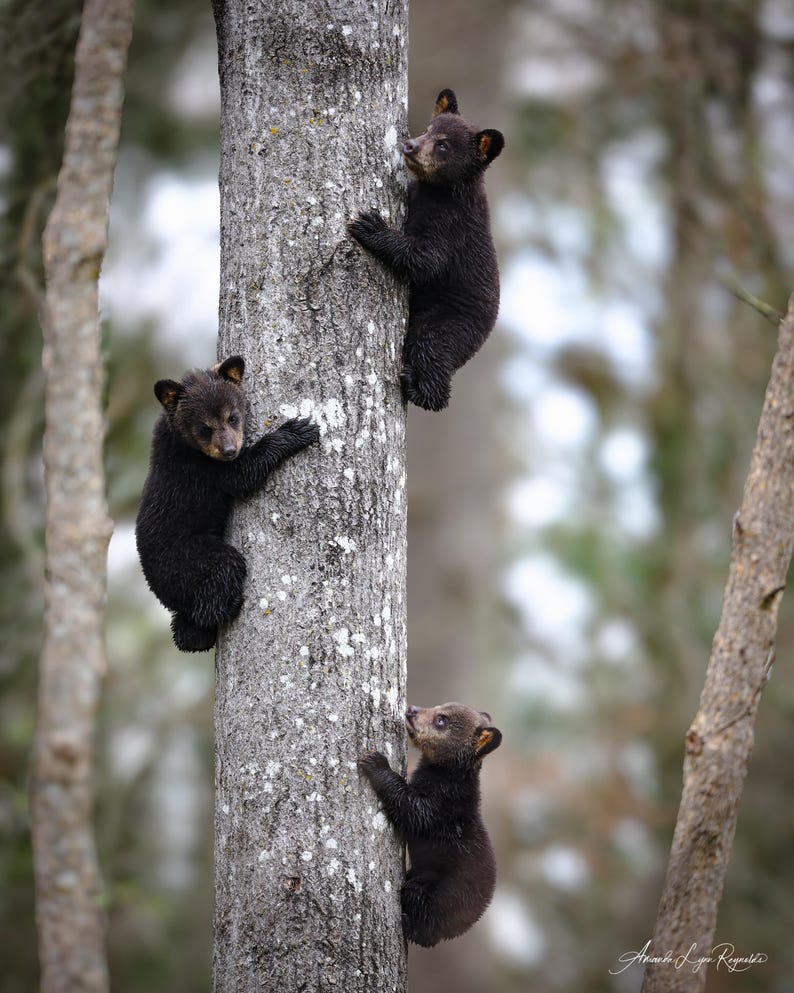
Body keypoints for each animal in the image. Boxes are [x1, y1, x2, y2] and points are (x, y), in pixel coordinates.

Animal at [135, 355, 319, 652]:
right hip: (191, 559)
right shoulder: (204, 469)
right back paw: (229, 606)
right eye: (204, 427)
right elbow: (242, 475)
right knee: (222, 574)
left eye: (232, 417)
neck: (183, 442)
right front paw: (296, 431)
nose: (230, 450)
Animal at [348, 88, 504, 411]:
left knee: (431, 349)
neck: (441, 192)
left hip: (451, 322)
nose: (410, 145)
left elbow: (426, 258)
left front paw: (370, 226)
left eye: (443, 144)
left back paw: (417, 388)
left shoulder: (453, 226)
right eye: (429, 129)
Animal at [358, 702, 502, 947]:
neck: (448, 774)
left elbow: (414, 810)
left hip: (440, 894)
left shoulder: (443, 803)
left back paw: (407, 923)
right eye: (439, 707)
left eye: (441, 720)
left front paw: (376, 763)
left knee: (419, 908)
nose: (412, 709)